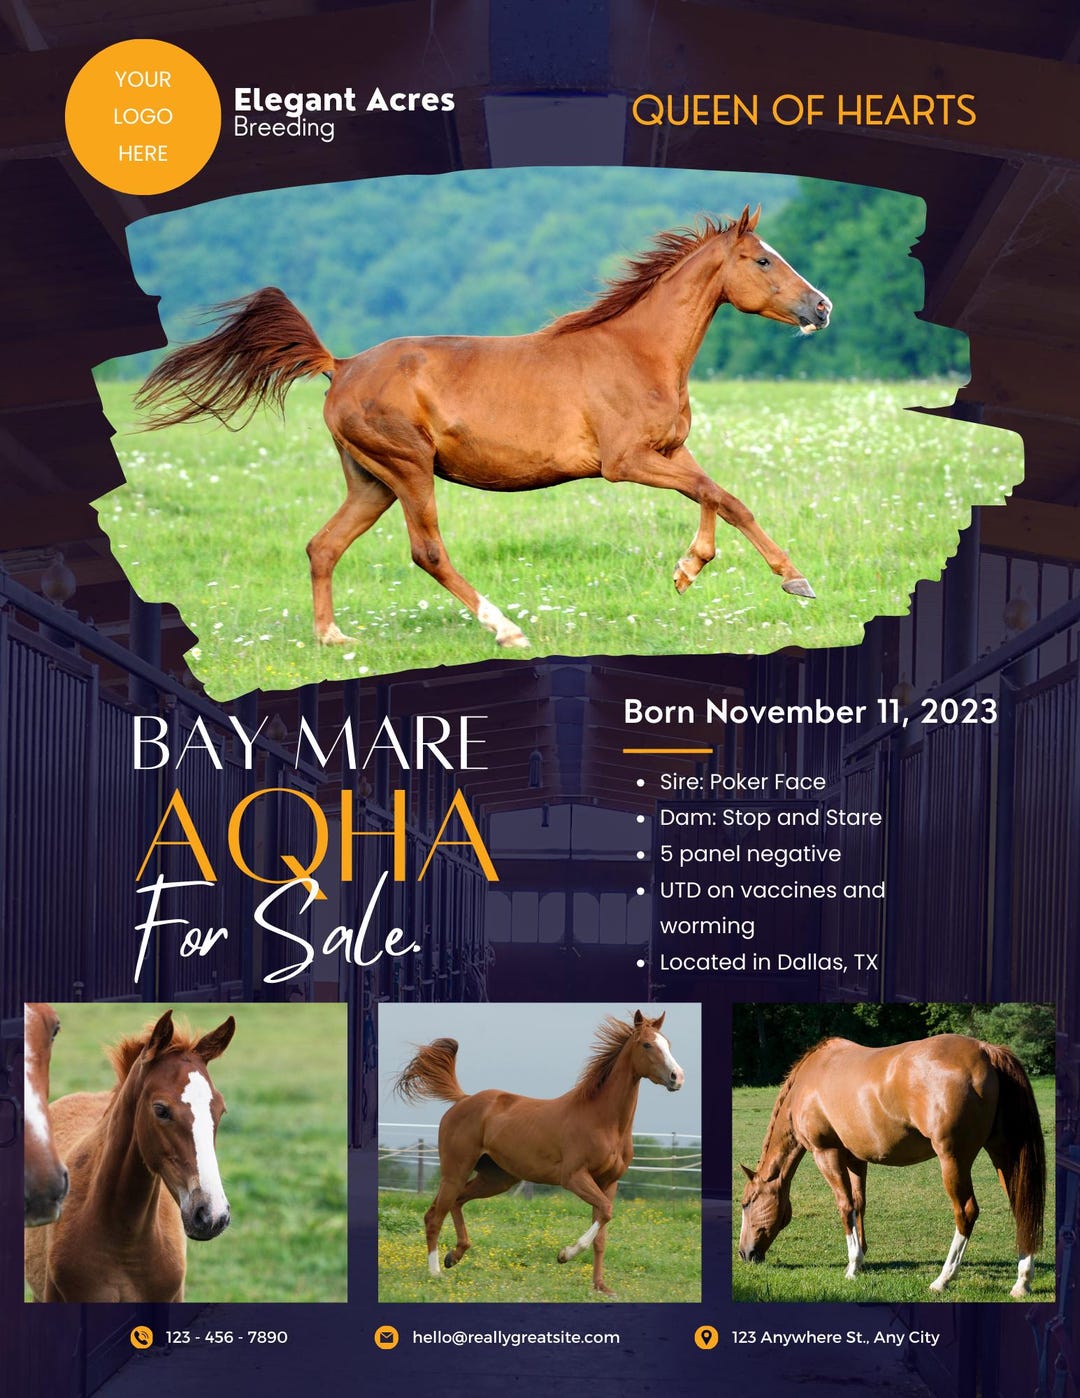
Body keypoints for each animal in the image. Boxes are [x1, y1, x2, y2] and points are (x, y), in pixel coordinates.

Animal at [136, 205, 830, 650]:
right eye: (763, 261)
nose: (821, 306)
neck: (636, 350)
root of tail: (342, 365)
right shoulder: (626, 462)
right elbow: (717, 493)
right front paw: (788, 579)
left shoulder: (670, 450)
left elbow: (723, 497)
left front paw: (704, 570)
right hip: (409, 470)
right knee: (427, 552)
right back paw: (506, 628)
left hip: (371, 481)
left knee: (323, 546)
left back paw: (332, 637)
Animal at [393, 1009, 684, 1296]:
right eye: (647, 1044)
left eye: (668, 1044)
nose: (677, 1077)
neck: (603, 1121)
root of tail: (463, 1099)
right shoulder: (574, 1177)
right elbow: (605, 1212)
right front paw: (564, 1254)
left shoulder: (608, 1182)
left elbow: (602, 1230)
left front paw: (601, 1286)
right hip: (456, 1171)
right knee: (434, 1215)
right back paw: (436, 1272)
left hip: (496, 1178)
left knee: (456, 1202)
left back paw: (454, 1256)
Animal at [737, 1034, 1046, 1298]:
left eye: (746, 1203)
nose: (744, 1254)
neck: (809, 1082)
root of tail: (985, 1051)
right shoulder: (855, 1159)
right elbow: (859, 1204)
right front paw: (860, 1258)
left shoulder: (827, 1153)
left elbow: (844, 1206)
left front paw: (852, 1266)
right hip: (1003, 1154)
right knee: (1022, 1207)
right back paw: (1022, 1282)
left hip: (954, 1160)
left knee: (966, 1212)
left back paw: (943, 1279)